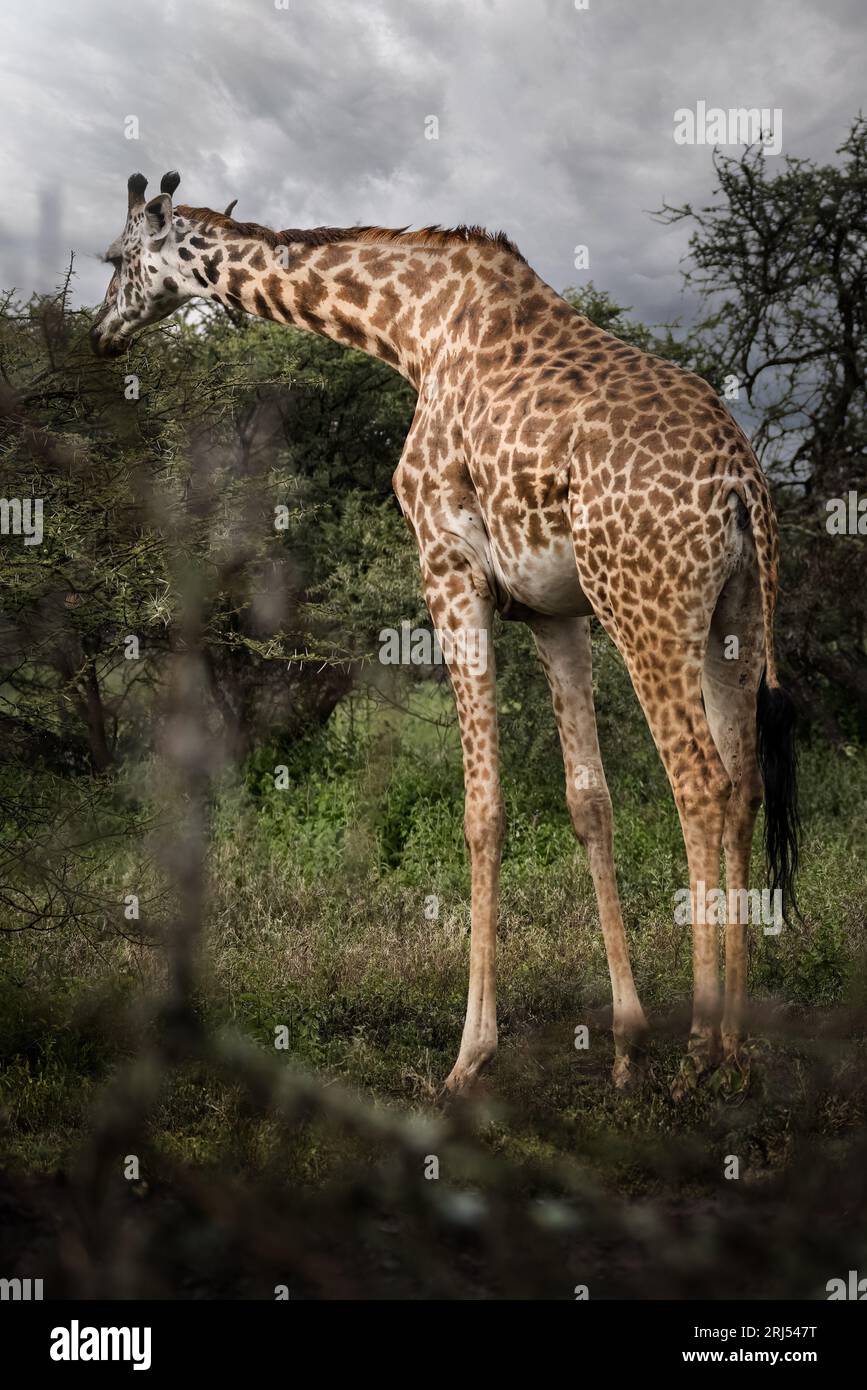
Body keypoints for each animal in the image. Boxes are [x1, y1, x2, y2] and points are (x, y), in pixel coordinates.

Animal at [92, 172, 799, 1093]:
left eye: (115, 258)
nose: (99, 334)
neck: (414, 331)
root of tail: (741, 483)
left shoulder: (448, 566)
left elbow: (482, 811)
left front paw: (470, 1055)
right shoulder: (554, 610)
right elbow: (589, 803)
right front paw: (622, 1041)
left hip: (643, 601)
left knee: (700, 784)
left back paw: (702, 1050)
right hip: (732, 618)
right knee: (744, 784)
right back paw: (739, 1046)